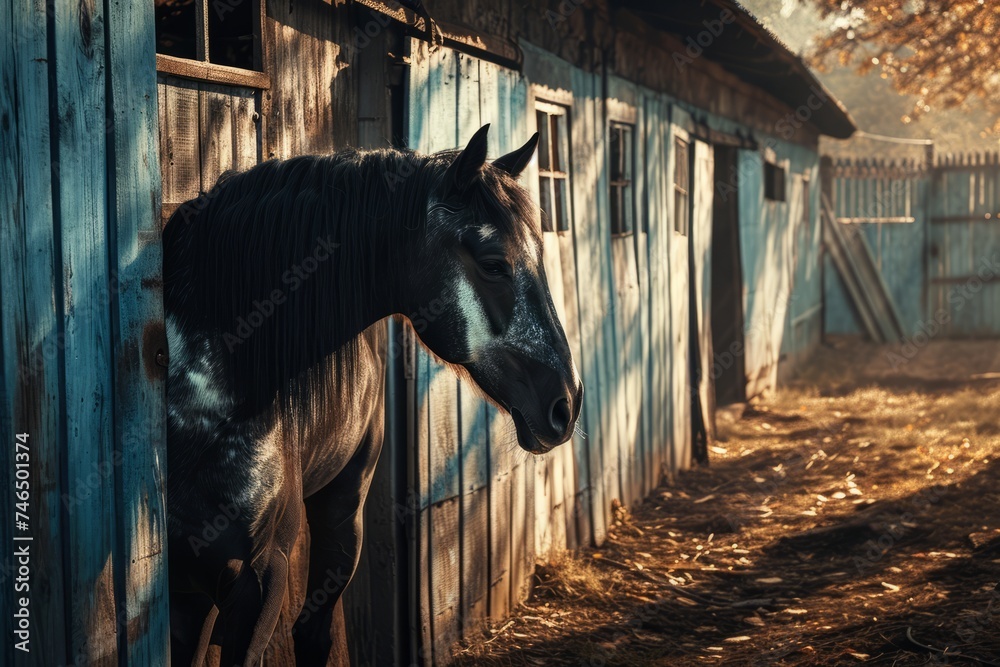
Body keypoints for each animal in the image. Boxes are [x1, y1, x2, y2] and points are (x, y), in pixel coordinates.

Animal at [162, 124, 584, 666]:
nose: (566, 404)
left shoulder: (261, 579)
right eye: (494, 264)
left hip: (344, 513)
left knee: (314, 631)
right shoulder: (186, 586)